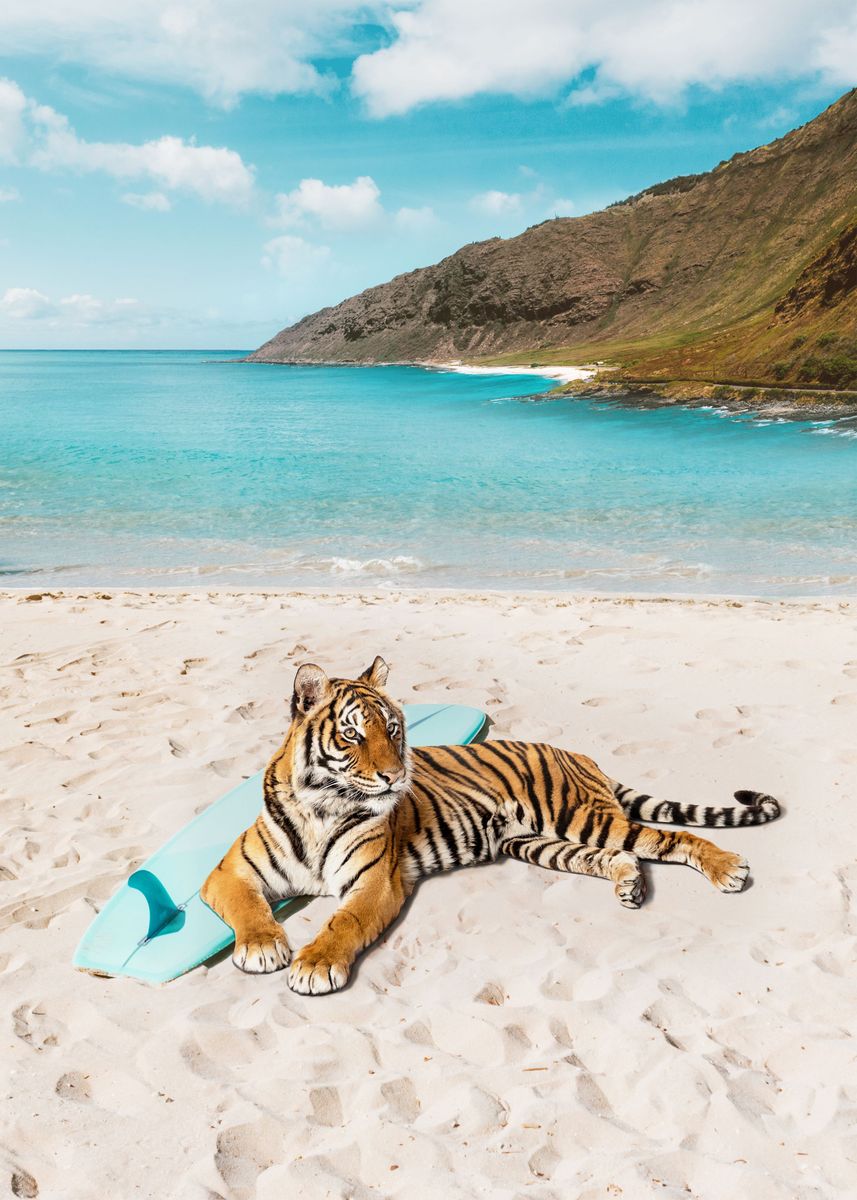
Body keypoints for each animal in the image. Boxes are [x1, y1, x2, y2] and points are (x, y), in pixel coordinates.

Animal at [201, 656, 780, 995]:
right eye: (352, 735)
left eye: (393, 729)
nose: (395, 775)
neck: (322, 806)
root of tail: (579, 754)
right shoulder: (228, 873)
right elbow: (248, 907)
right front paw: (262, 947)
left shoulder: (374, 882)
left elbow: (343, 922)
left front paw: (315, 965)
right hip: (538, 843)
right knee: (622, 856)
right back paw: (629, 886)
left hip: (580, 817)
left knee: (670, 837)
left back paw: (727, 869)